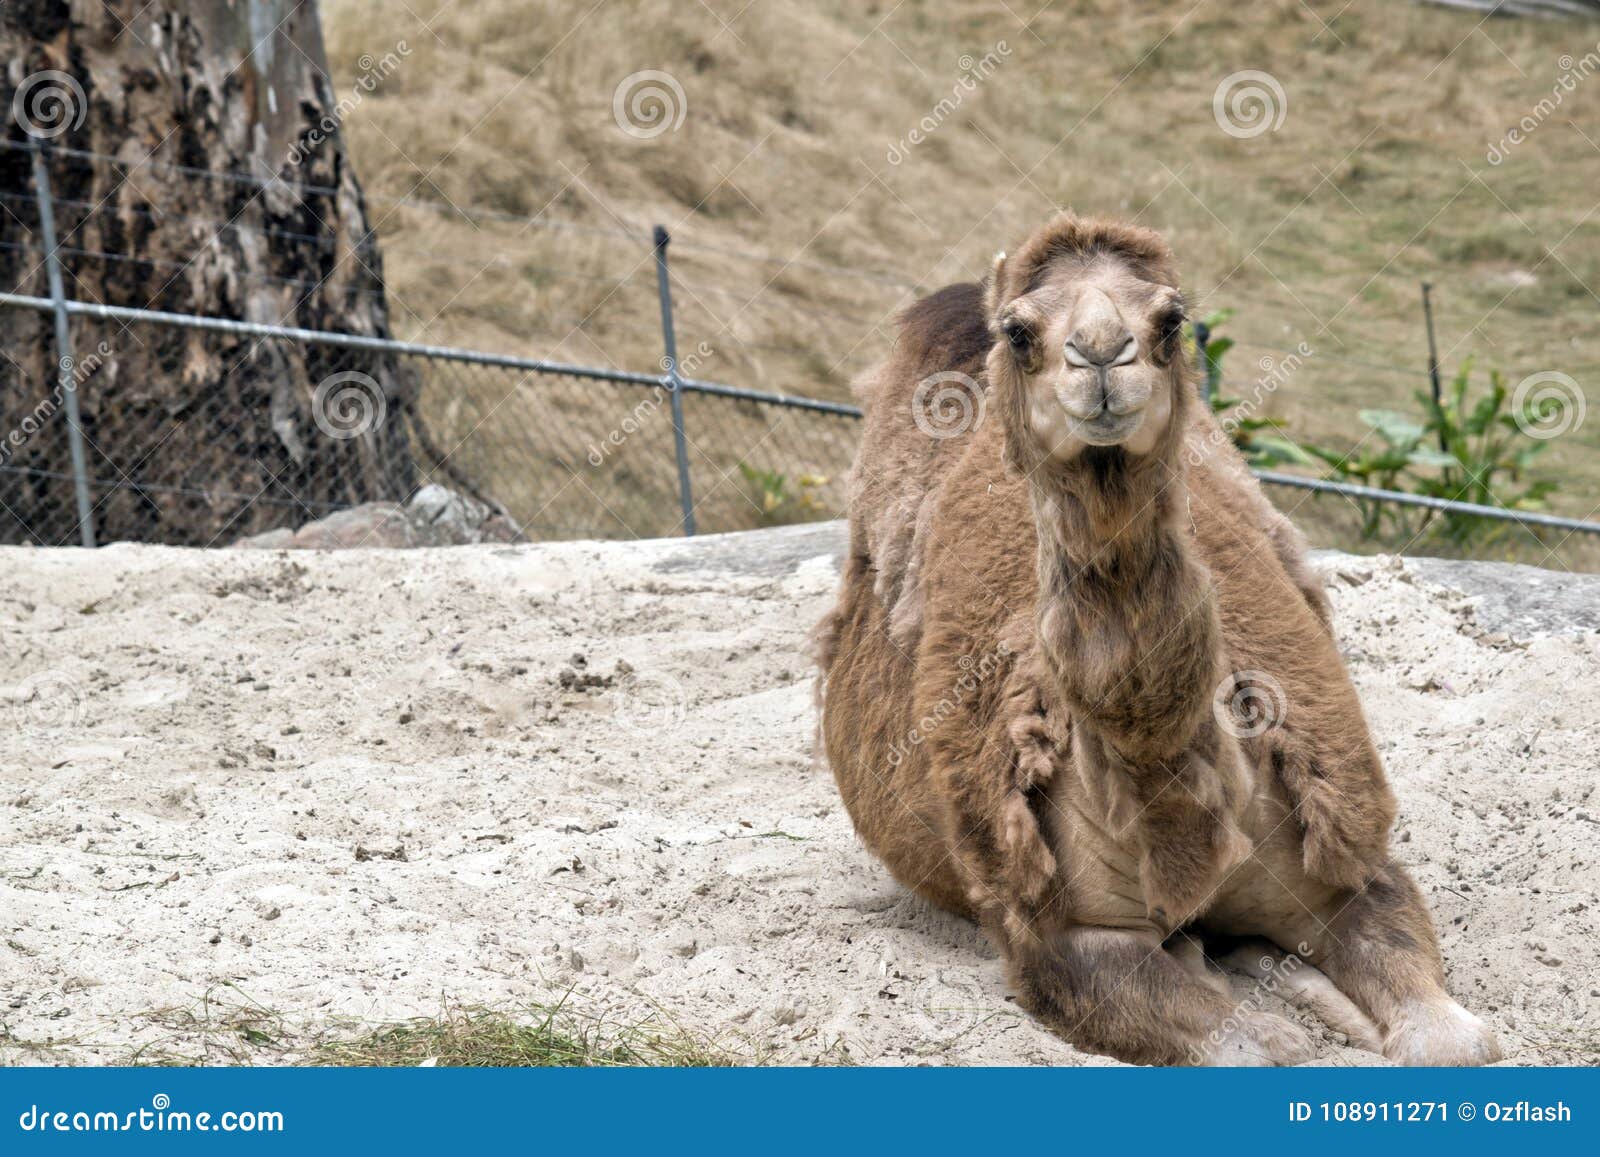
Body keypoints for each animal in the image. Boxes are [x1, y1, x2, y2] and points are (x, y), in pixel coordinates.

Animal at [814, 213, 1503, 1066]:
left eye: (1171, 319)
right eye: (1020, 331)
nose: (1102, 353)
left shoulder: (1347, 862)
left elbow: (1452, 1042)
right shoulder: (1064, 937)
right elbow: (1251, 1048)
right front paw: (1275, 1007)